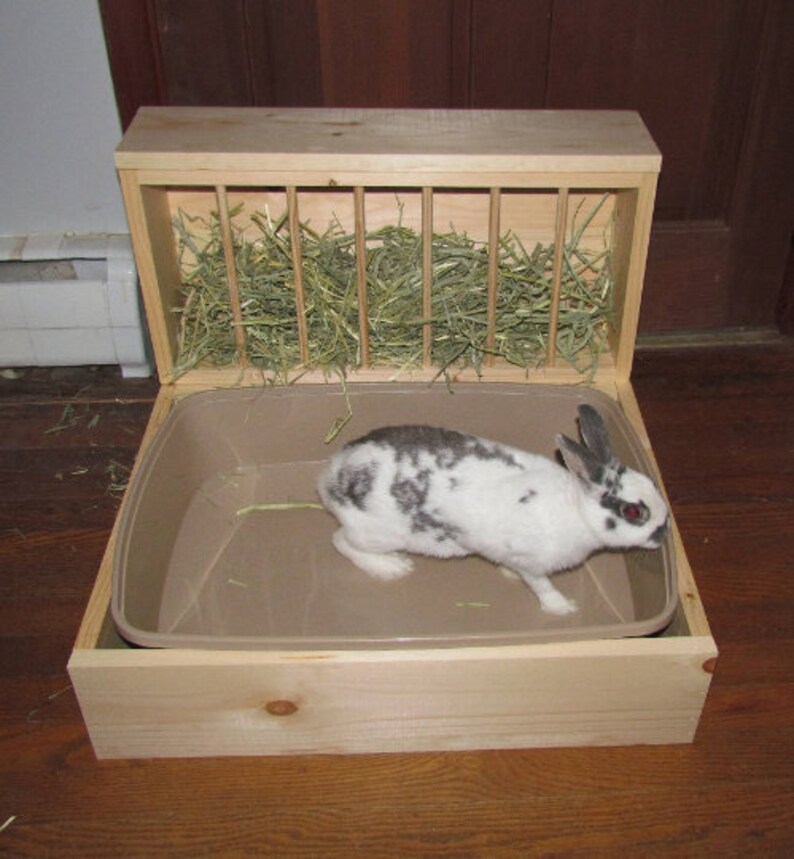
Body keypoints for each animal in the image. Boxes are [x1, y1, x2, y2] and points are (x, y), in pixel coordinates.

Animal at [317, 404, 670, 616]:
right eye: (634, 512)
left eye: (653, 484)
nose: (663, 533)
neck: (578, 508)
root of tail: (332, 477)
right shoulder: (532, 564)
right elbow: (542, 586)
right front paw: (564, 607)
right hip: (376, 533)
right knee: (339, 541)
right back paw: (392, 567)